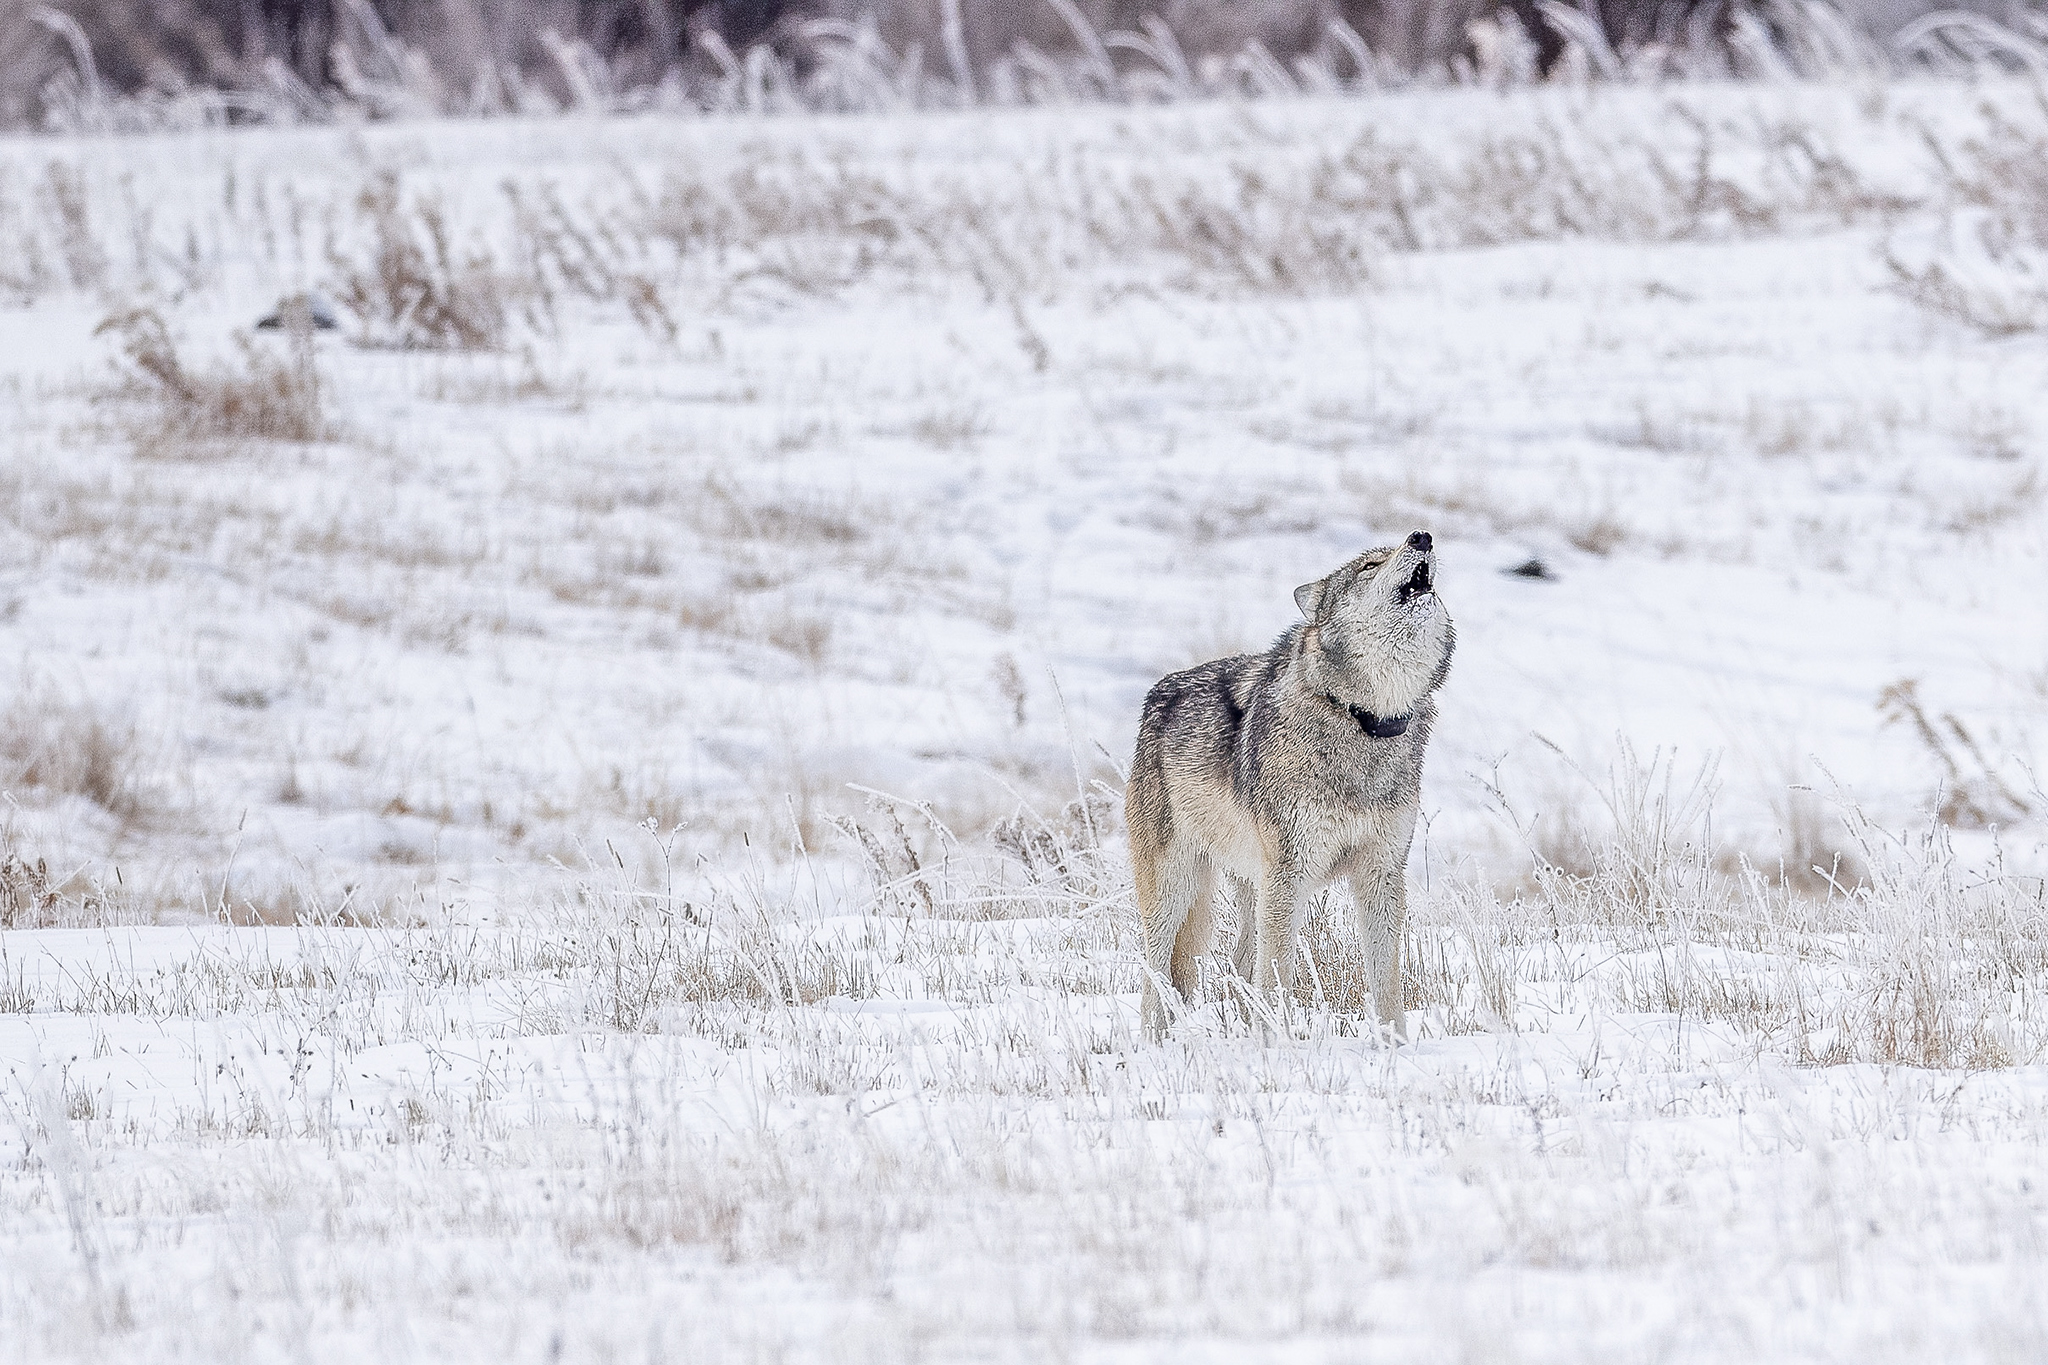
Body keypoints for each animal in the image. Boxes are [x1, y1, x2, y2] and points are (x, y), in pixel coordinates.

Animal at [1127, 530, 1454, 1040]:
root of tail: (1157, 695)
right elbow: (1278, 972)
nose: (1422, 537)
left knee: (1239, 959)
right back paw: (1153, 1043)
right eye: (1370, 565)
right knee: (1157, 969)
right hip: (1175, 888)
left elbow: (1386, 980)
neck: (1363, 718)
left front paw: (1396, 1045)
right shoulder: (1290, 873)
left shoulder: (1381, 872)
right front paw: (1274, 1044)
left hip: (1248, 884)